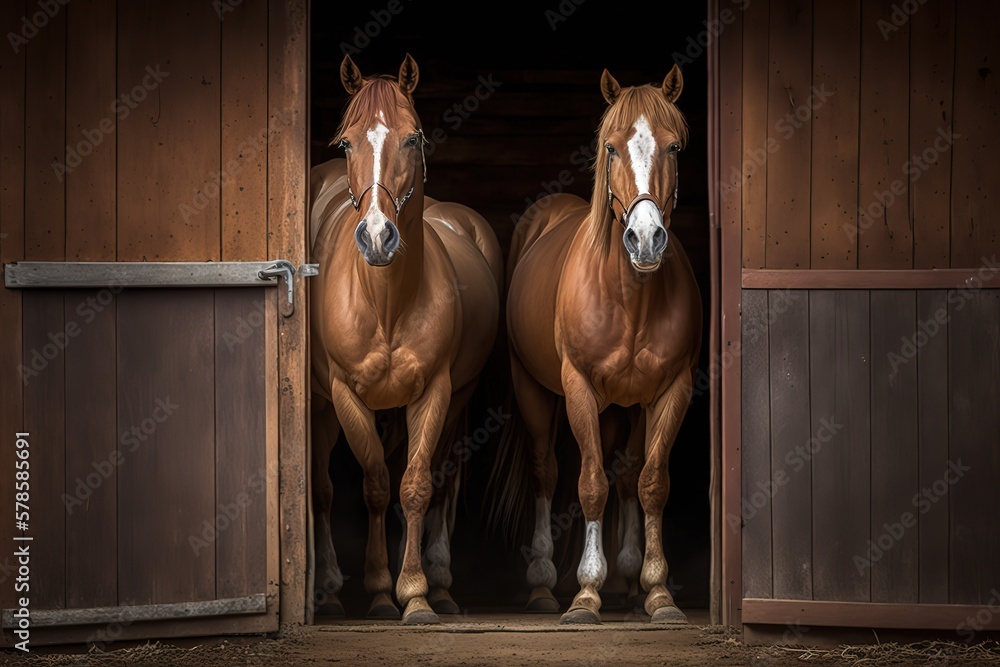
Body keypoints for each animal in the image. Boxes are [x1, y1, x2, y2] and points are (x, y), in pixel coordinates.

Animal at [310, 53, 502, 625]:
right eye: (346, 143)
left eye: (414, 138)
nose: (377, 236)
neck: (387, 304)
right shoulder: (345, 395)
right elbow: (373, 484)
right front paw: (377, 590)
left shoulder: (435, 391)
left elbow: (415, 486)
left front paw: (415, 592)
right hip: (322, 406)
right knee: (324, 488)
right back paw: (330, 589)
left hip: (458, 400)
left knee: (442, 479)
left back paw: (439, 584)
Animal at [493, 65, 702, 625]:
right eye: (610, 147)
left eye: (674, 147)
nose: (645, 239)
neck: (629, 299)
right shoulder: (580, 389)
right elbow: (589, 484)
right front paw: (586, 593)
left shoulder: (671, 390)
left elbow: (651, 483)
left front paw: (657, 590)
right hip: (534, 392)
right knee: (547, 471)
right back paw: (544, 585)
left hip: (623, 409)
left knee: (627, 476)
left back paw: (628, 583)